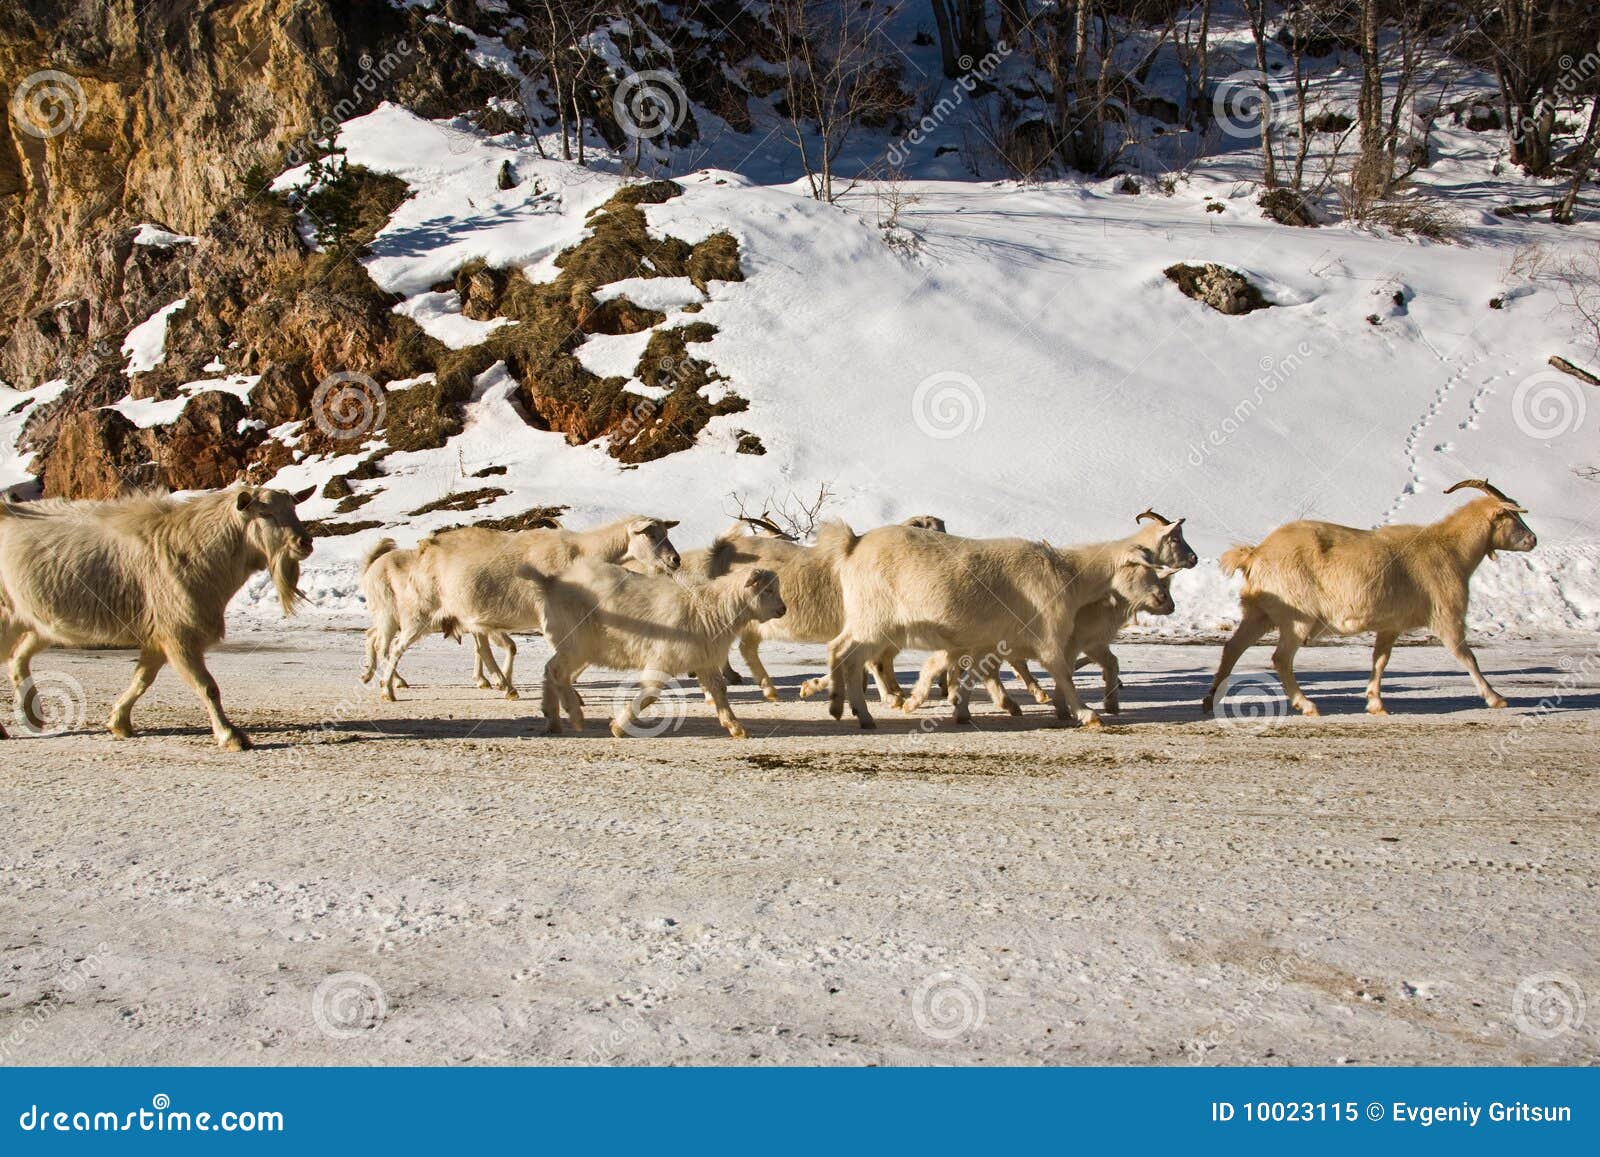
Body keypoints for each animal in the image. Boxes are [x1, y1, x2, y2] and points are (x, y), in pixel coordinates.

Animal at [0, 487, 312, 749]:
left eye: (293, 508)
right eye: (265, 513)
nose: (305, 542)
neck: (197, 551)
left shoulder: (159, 635)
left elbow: (142, 679)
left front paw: (119, 723)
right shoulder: (179, 635)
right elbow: (207, 686)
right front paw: (231, 736)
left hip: (39, 624)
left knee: (18, 659)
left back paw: (34, 718)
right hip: (8, 616)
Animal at [536, 561, 786, 739]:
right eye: (767, 590)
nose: (783, 610)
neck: (713, 607)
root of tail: (552, 582)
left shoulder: (703, 660)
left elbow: (719, 691)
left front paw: (734, 726)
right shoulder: (663, 659)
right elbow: (650, 694)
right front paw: (618, 727)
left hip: (577, 647)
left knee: (550, 669)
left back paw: (552, 719)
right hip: (575, 642)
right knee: (557, 672)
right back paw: (574, 716)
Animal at [1202, 479, 1537, 716]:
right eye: (1511, 515)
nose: (1533, 539)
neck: (1449, 548)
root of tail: (1255, 554)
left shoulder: (1390, 626)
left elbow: (1380, 660)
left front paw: (1375, 703)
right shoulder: (1446, 616)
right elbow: (1467, 656)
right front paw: (1496, 698)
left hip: (1260, 614)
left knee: (1233, 648)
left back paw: (1210, 699)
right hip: (1297, 618)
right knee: (1280, 658)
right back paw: (1306, 705)